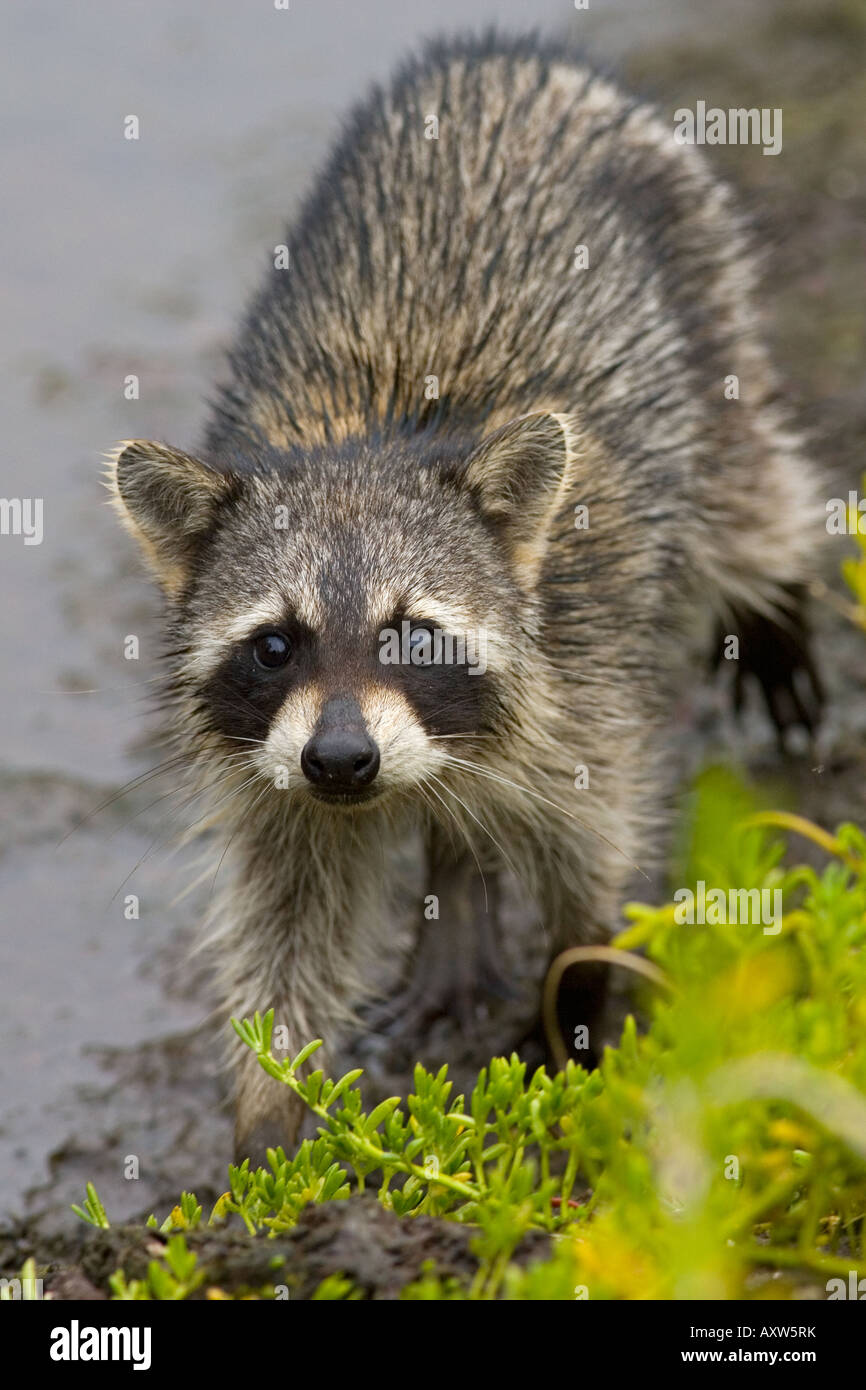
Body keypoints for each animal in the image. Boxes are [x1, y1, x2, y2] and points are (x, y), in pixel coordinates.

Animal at [108, 34, 824, 1162]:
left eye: (413, 635)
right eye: (275, 644)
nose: (342, 760)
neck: (362, 446)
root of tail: (500, 53)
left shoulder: (580, 647)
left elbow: (594, 833)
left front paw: (578, 989)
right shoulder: (277, 767)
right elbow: (286, 910)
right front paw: (269, 1099)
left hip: (707, 320)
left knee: (749, 493)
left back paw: (778, 586)